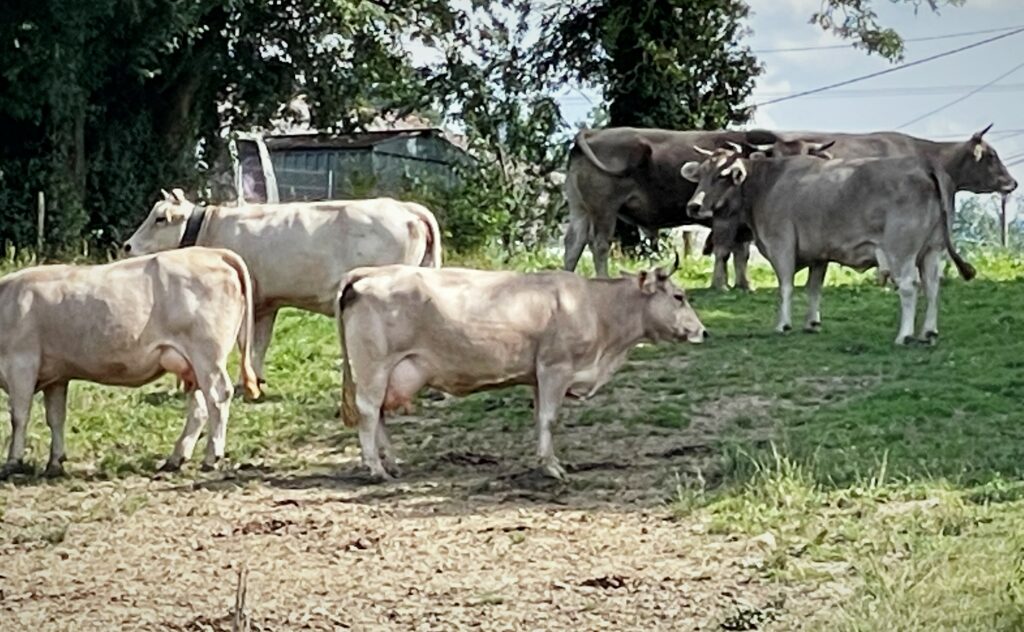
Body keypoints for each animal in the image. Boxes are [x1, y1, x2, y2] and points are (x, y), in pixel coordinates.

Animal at [121, 189, 442, 391]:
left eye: (159, 218)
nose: (127, 246)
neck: (211, 227)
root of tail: (404, 207)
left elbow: (246, 343)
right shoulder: (268, 303)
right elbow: (261, 343)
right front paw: (257, 379)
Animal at [339, 256, 708, 477]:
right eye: (679, 296)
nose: (704, 331)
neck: (594, 306)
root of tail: (369, 272)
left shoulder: (537, 376)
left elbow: (540, 418)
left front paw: (545, 460)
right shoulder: (554, 368)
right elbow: (550, 418)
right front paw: (552, 467)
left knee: (379, 414)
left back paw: (393, 463)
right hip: (374, 365)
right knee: (368, 411)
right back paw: (377, 468)